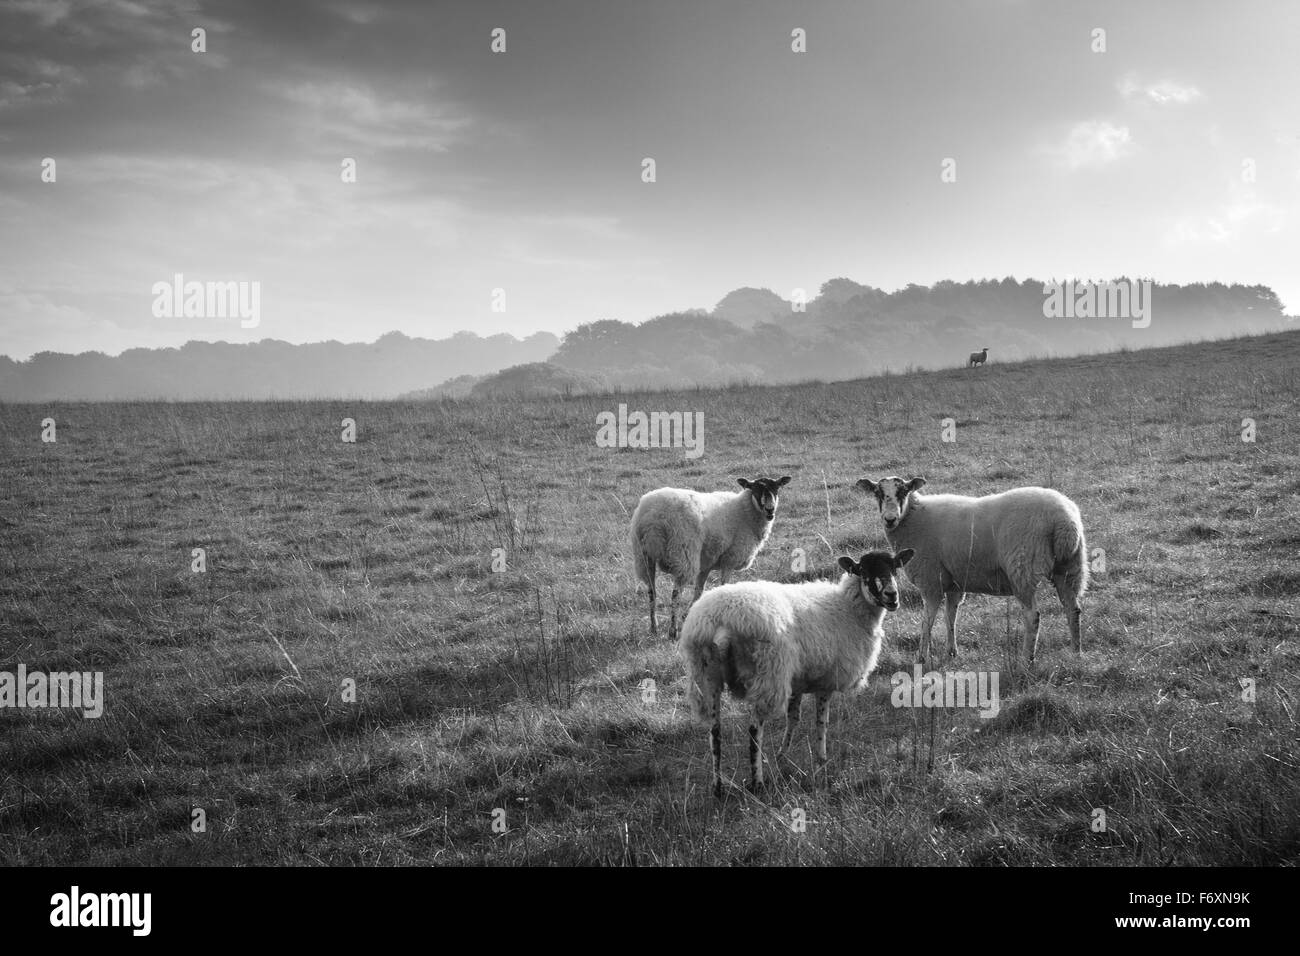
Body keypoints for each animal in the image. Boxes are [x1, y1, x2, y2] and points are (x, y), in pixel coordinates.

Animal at [631, 476, 790, 640]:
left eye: (776, 489)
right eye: (756, 490)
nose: (770, 509)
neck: (745, 512)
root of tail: (654, 519)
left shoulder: (706, 564)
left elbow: (699, 591)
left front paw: (689, 615)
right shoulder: (729, 559)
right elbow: (722, 586)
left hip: (644, 556)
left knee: (651, 591)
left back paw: (653, 627)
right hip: (684, 554)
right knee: (675, 594)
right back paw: (672, 631)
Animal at [679, 548, 914, 798]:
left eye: (895, 569)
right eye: (865, 573)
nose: (892, 596)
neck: (848, 608)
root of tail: (722, 624)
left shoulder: (798, 682)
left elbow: (793, 718)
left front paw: (783, 757)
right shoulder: (825, 682)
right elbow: (821, 722)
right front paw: (821, 761)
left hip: (706, 675)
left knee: (715, 731)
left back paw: (718, 787)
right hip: (768, 674)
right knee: (754, 730)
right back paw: (757, 782)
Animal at [855, 476, 1087, 664]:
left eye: (903, 491)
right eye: (878, 493)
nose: (890, 519)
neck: (913, 518)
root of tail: (1064, 521)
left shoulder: (931, 580)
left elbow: (927, 621)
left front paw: (921, 657)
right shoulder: (954, 581)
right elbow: (950, 616)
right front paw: (951, 652)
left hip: (1022, 568)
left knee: (1033, 616)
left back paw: (1027, 659)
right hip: (1070, 567)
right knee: (1073, 609)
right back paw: (1075, 652)